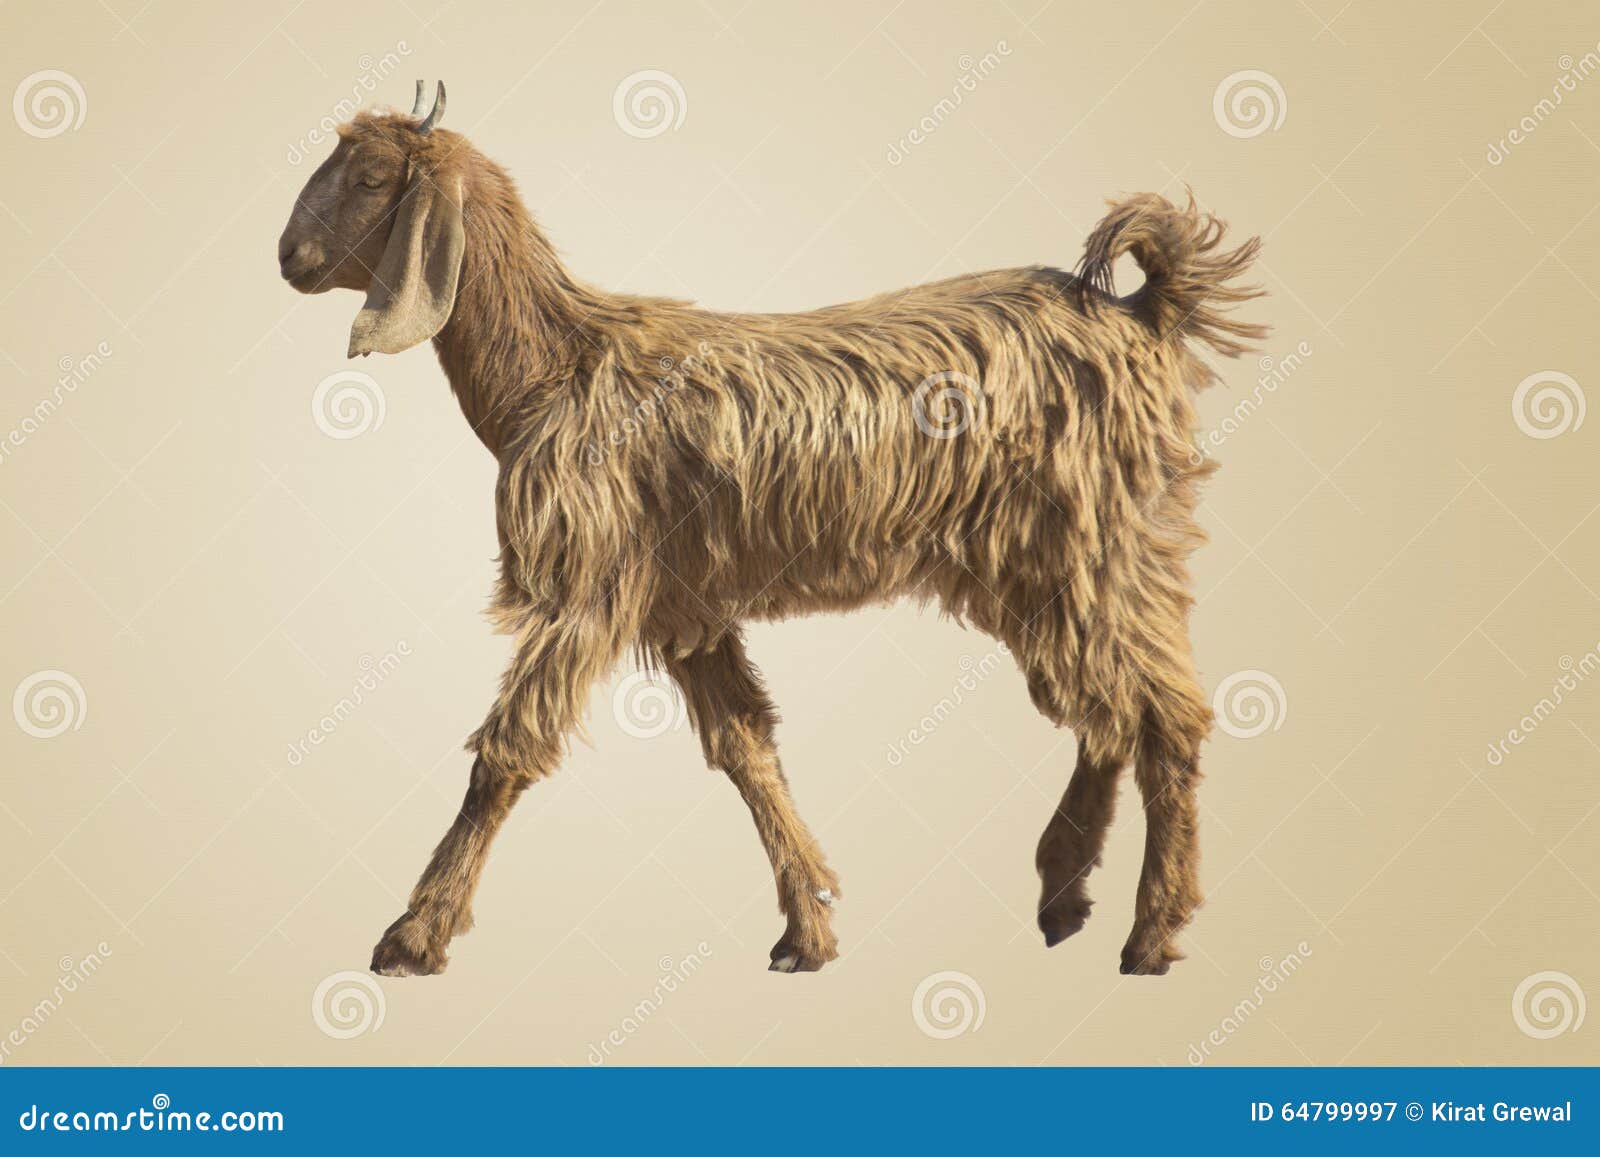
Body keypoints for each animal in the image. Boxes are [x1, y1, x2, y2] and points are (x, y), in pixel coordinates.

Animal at [277, 82, 1263, 978]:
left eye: (372, 177)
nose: (290, 255)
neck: (556, 365)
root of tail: (1140, 313)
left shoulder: (588, 585)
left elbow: (507, 752)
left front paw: (412, 937)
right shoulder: (687, 604)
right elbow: (748, 749)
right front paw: (809, 930)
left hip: (1097, 545)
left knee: (1165, 713)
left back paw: (1150, 934)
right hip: (1043, 568)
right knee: (1105, 711)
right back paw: (1063, 897)